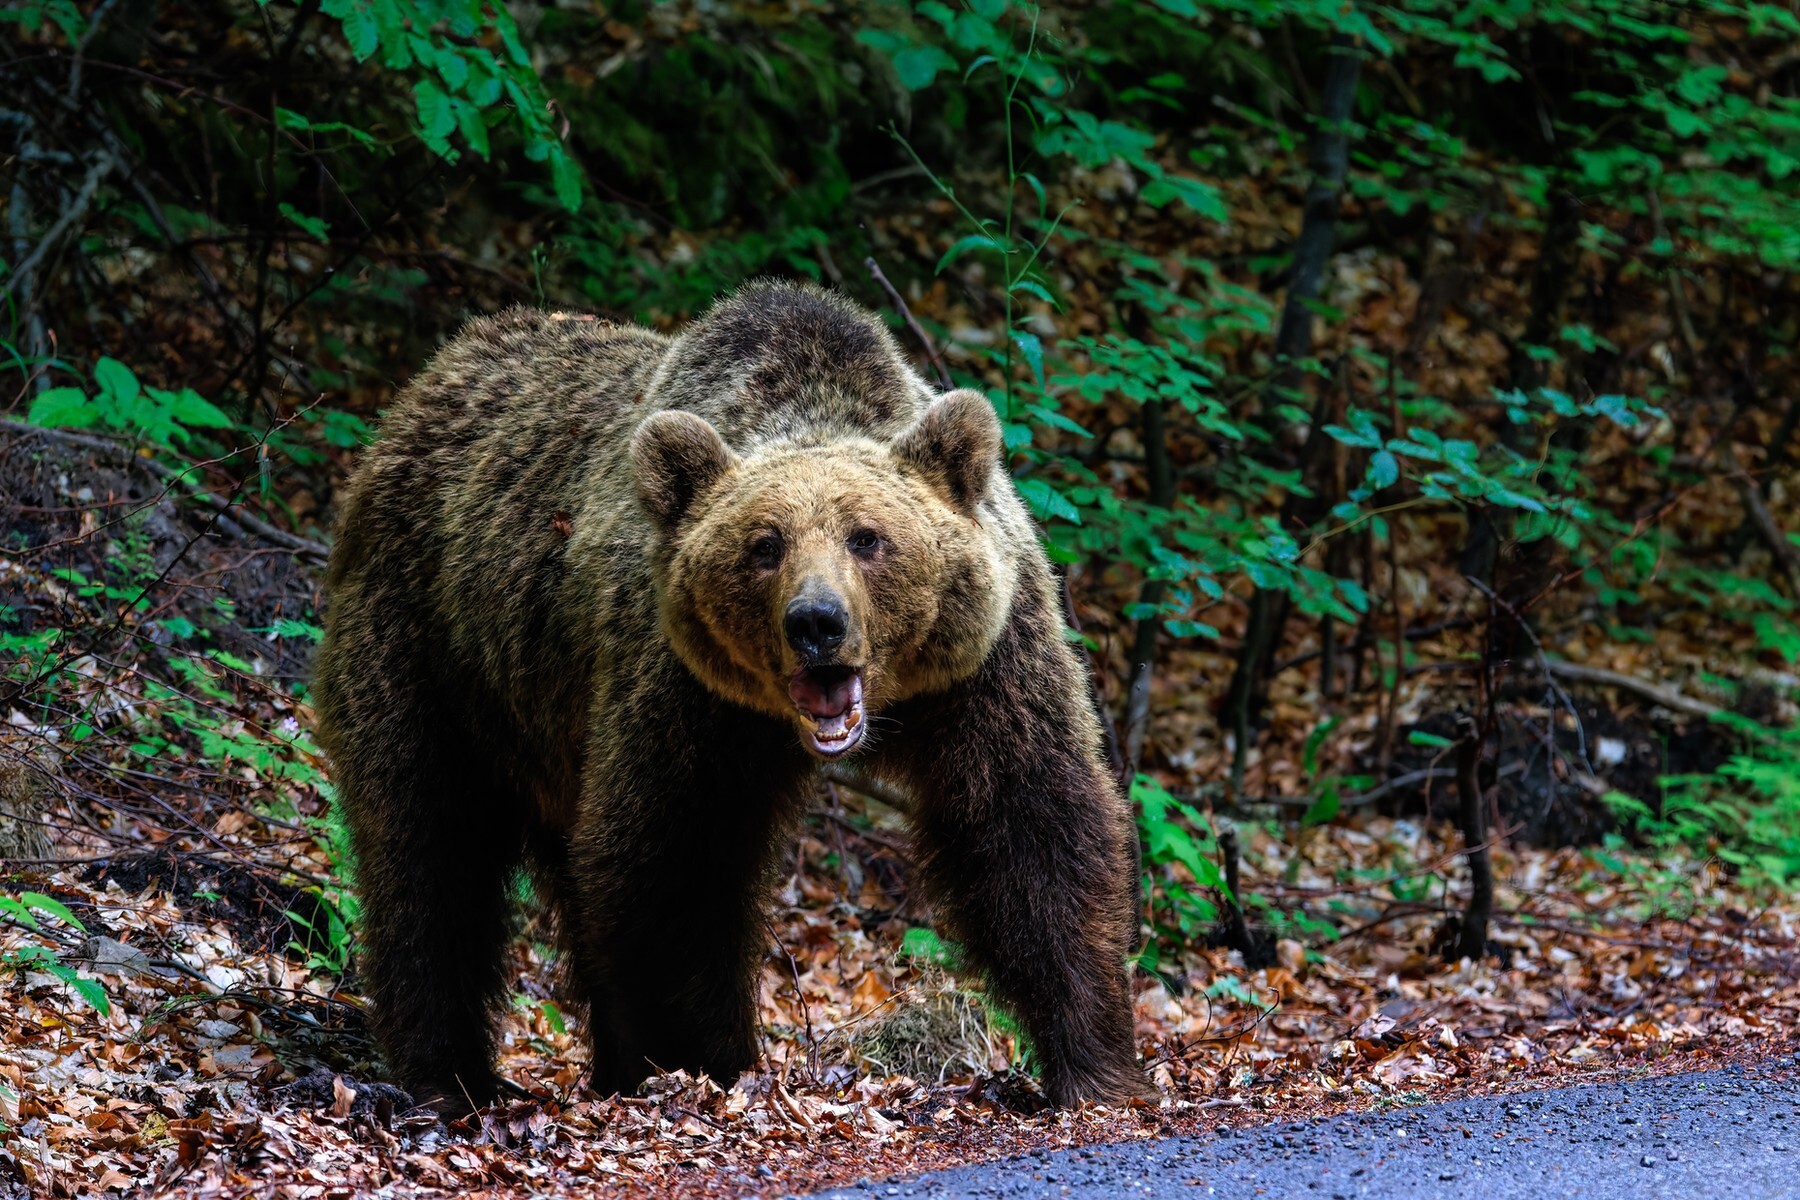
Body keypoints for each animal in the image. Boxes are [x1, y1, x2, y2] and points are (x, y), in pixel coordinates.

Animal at [312, 280, 1149, 1111]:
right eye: (765, 545)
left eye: (867, 537)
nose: (816, 622)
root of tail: (427, 385)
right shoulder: (686, 691)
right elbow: (676, 860)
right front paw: (707, 1061)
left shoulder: (984, 666)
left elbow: (1031, 825)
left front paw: (1092, 1062)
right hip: (430, 649)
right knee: (428, 848)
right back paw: (449, 1073)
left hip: (537, 711)